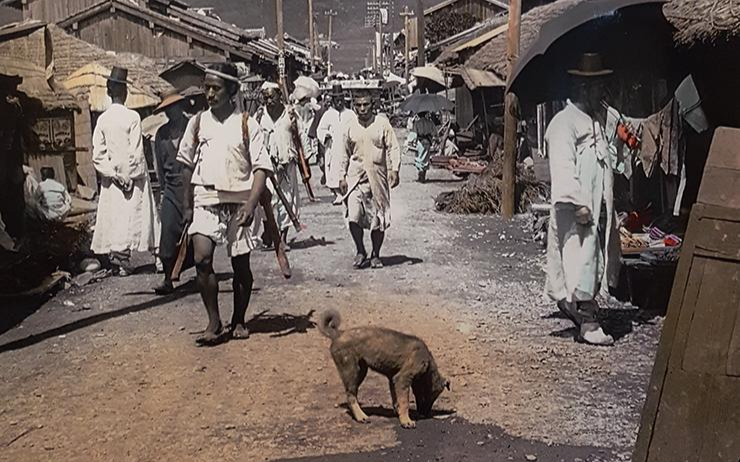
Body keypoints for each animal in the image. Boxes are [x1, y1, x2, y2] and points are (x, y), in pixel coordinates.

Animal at [316, 308, 448, 428]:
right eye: (433, 396)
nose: (425, 415)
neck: (428, 365)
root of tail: (339, 333)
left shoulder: (393, 379)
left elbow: (396, 400)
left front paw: (399, 413)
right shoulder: (402, 378)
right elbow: (404, 402)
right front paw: (406, 421)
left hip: (361, 371)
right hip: (352, 371)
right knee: (350, 396)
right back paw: (361, 416)